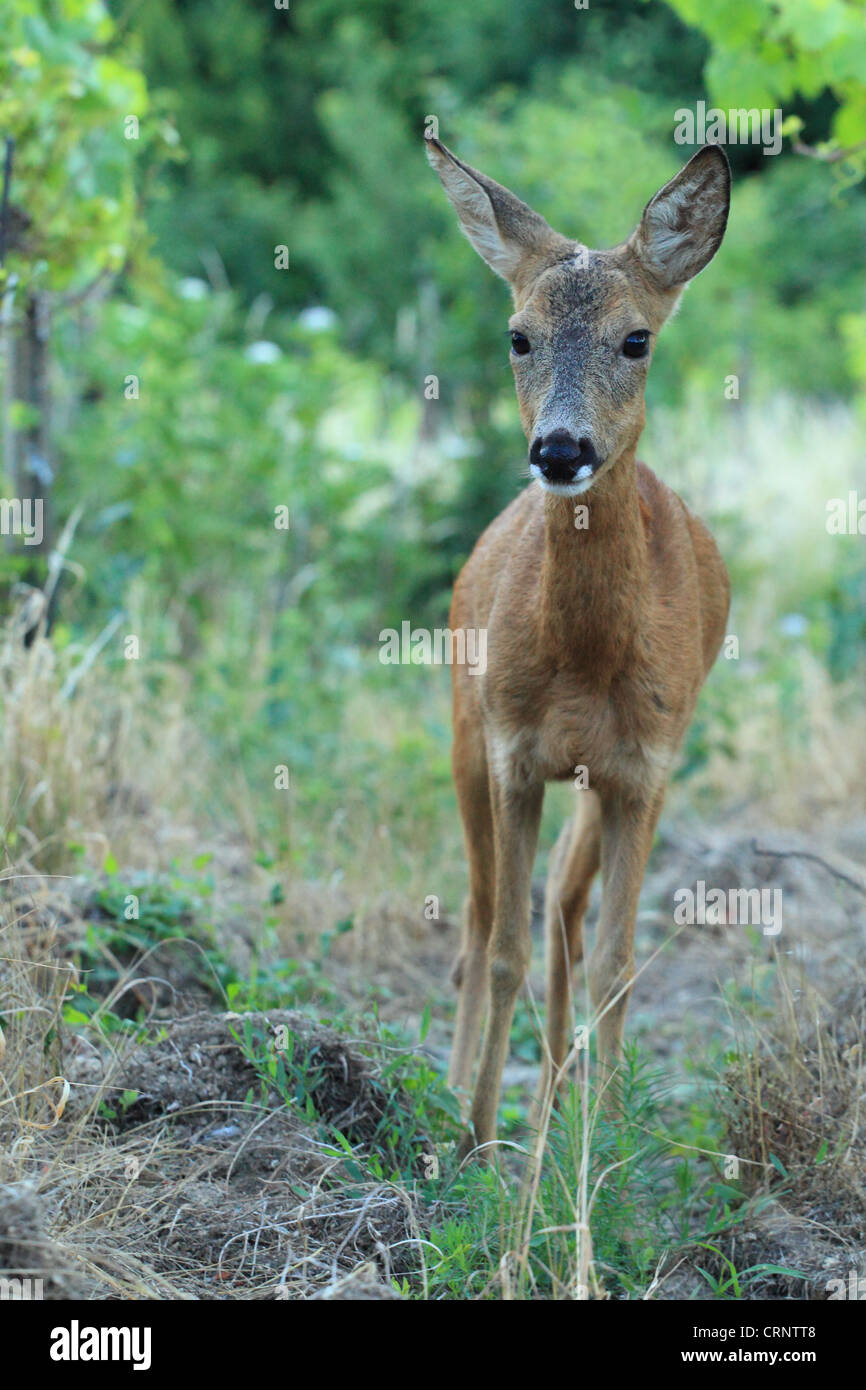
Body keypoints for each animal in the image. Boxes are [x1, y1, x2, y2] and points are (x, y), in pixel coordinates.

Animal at [426, 136, 731, 1161]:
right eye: (517, 336)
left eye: (636, 339)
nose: (560, 451)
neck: (588, 658)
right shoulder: (512, 751)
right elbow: (505, 948)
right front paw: (478, 1149)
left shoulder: (646, 767)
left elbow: (617, 963)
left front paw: (602, 1157)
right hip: (460, 731)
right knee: (480, 919)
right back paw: (463, 1103)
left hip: (610, 777)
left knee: (562, 900)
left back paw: (559, 1107)